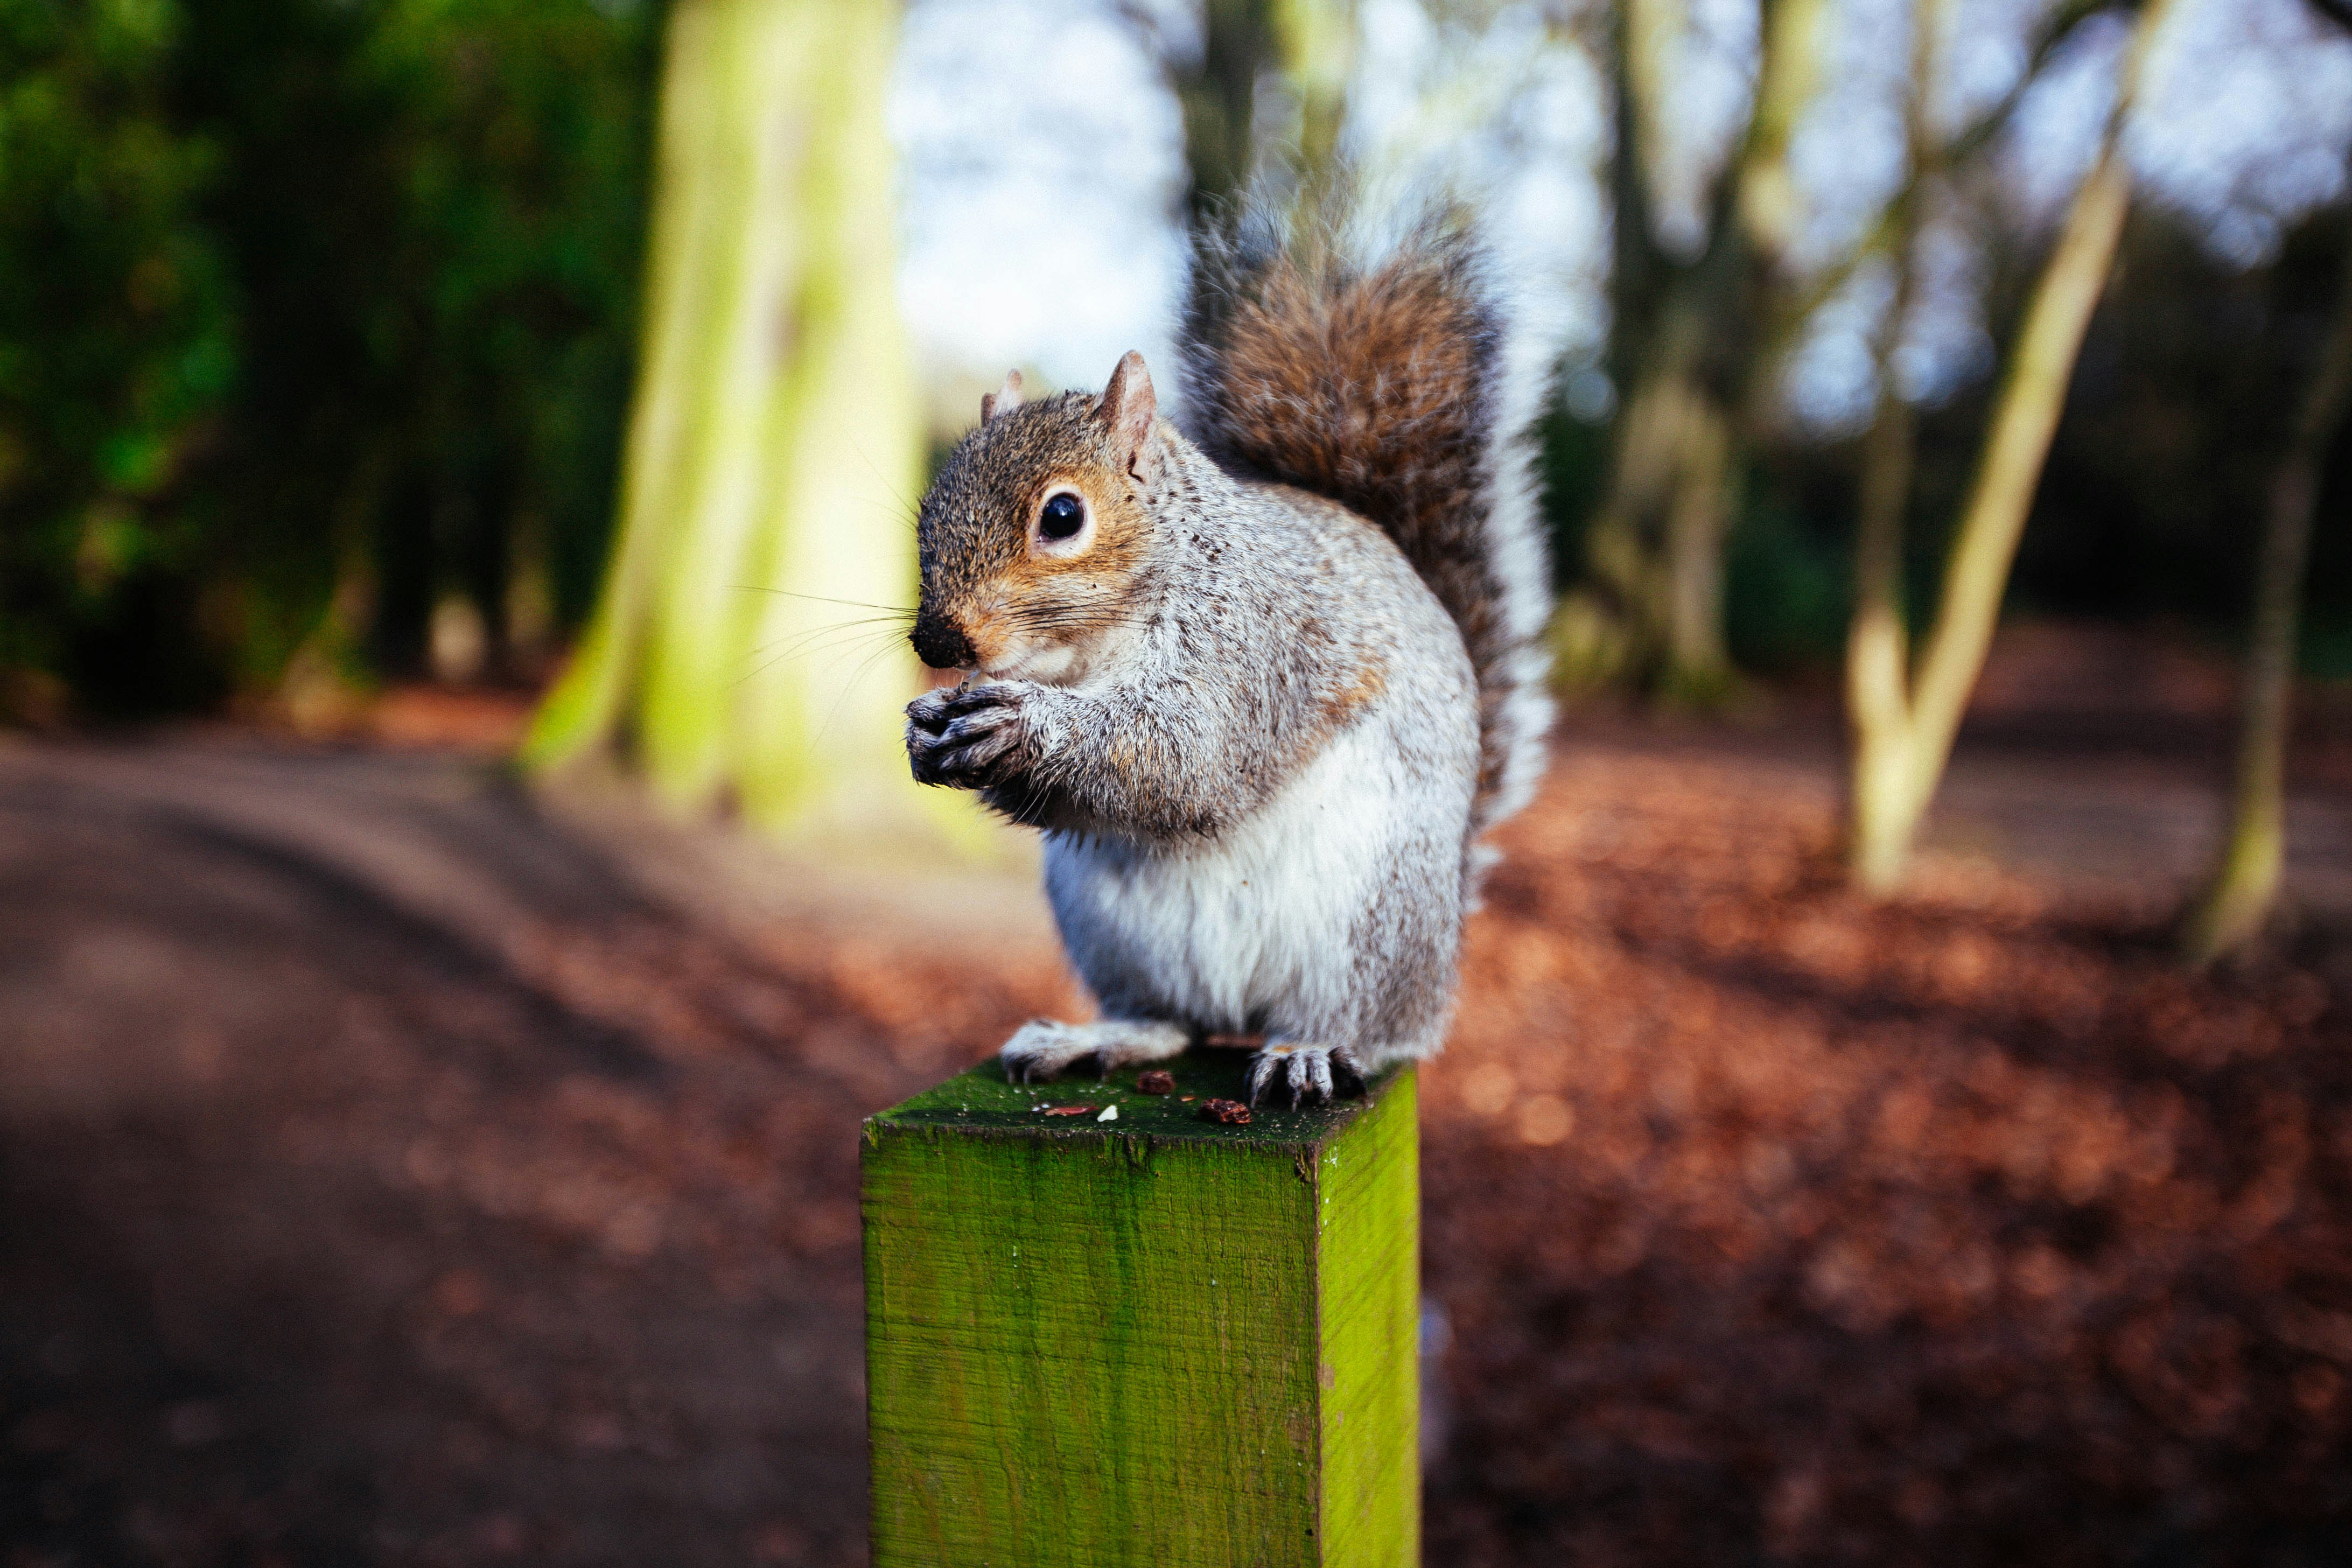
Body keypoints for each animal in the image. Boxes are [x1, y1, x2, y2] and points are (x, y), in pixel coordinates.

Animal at [903, 204, 1556, 1106]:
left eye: (1063, 516)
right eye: (927, 509)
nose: (937, 642)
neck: (1085, 654)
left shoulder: (1255, 648)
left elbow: (1191, 754)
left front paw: (1027, 726)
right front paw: (926, 726)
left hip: (1370, 920)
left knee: (1374, 1028)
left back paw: (1311, 1051)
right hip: (1110, 931)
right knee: (1176, 1021)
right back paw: (1100, 1036)